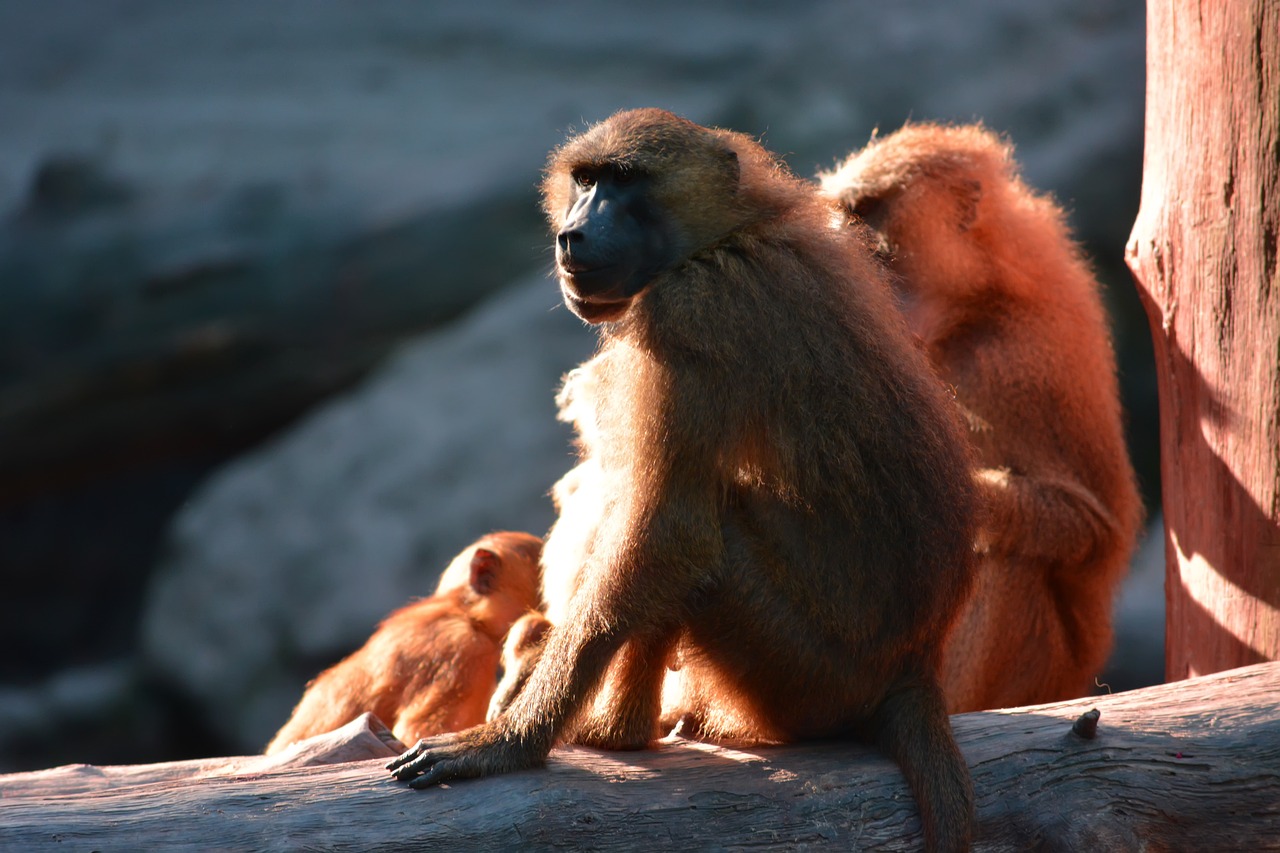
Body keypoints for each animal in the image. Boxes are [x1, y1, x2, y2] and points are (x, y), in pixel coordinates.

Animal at [388, 108, 979, 853]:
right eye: (586, 180)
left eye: (625, 182)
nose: (571, 233)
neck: (731, 234)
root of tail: (915, 668)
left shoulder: (692, 312)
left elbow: (668, 531)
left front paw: (507, 742)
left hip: (801, 675)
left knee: (689, 533)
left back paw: (612, 732)